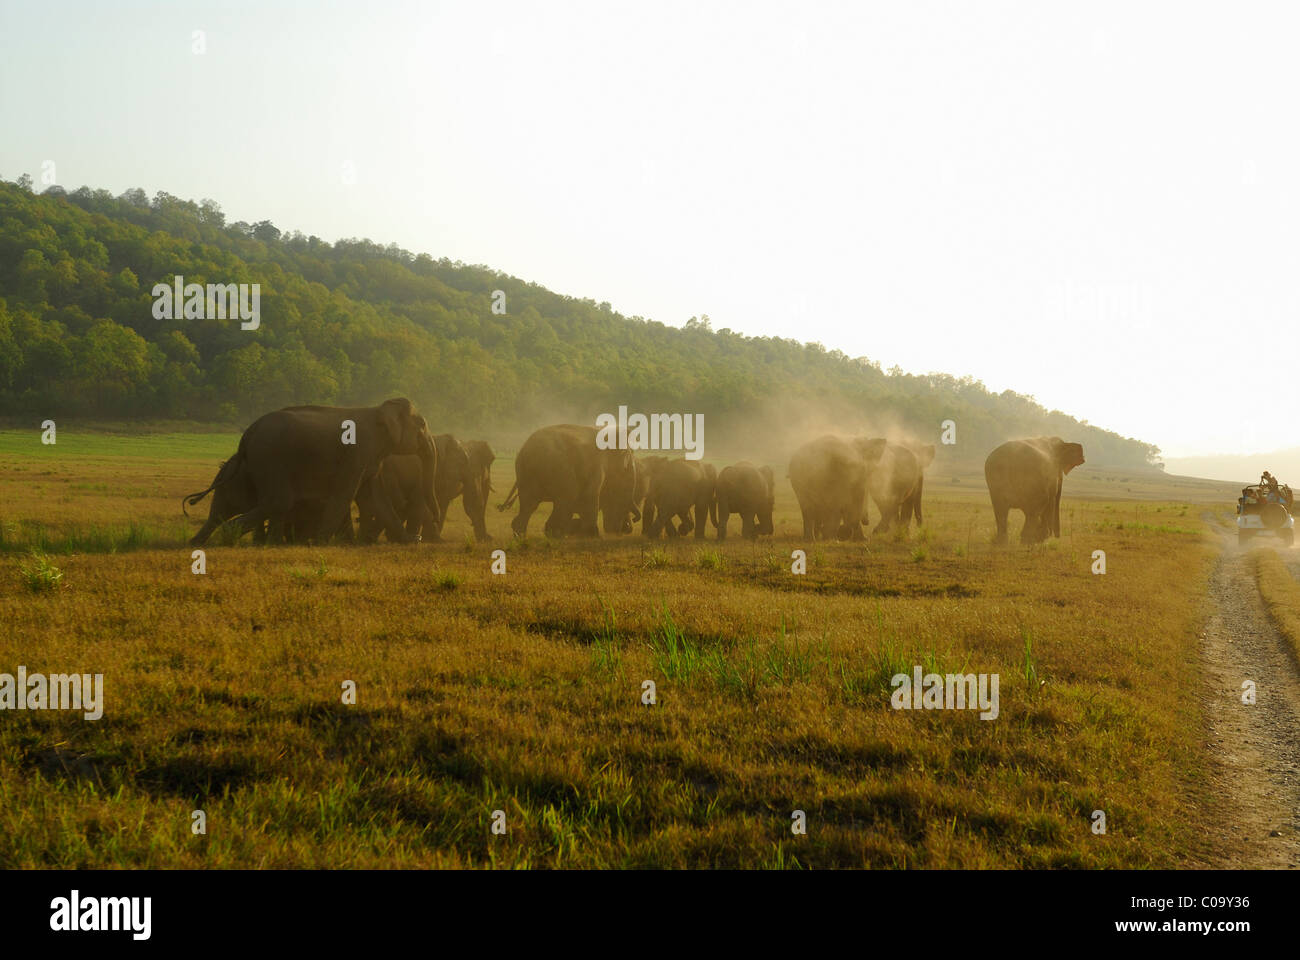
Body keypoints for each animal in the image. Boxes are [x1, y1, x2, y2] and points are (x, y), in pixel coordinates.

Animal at [224, 399, 436, 544]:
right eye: (423, 425)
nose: (420, 537)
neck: (380, 409)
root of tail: (249, 431)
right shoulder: (358, 452)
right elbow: (345, 493)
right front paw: (320, 542)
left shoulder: (371, 458)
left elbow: (375, 499)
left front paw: (410, 540)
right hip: (269, 458)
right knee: (279, 501)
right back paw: (226, 535)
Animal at [498, 424, 638, 538]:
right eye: (628, 468)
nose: (628, 527)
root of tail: (527, 450)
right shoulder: (597, 467)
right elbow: (590, 496)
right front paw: (593, 536)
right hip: (559, 471)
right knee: (565, 499)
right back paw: (556, 534)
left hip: (527, 475)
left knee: (530, 505)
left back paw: (523, 535)